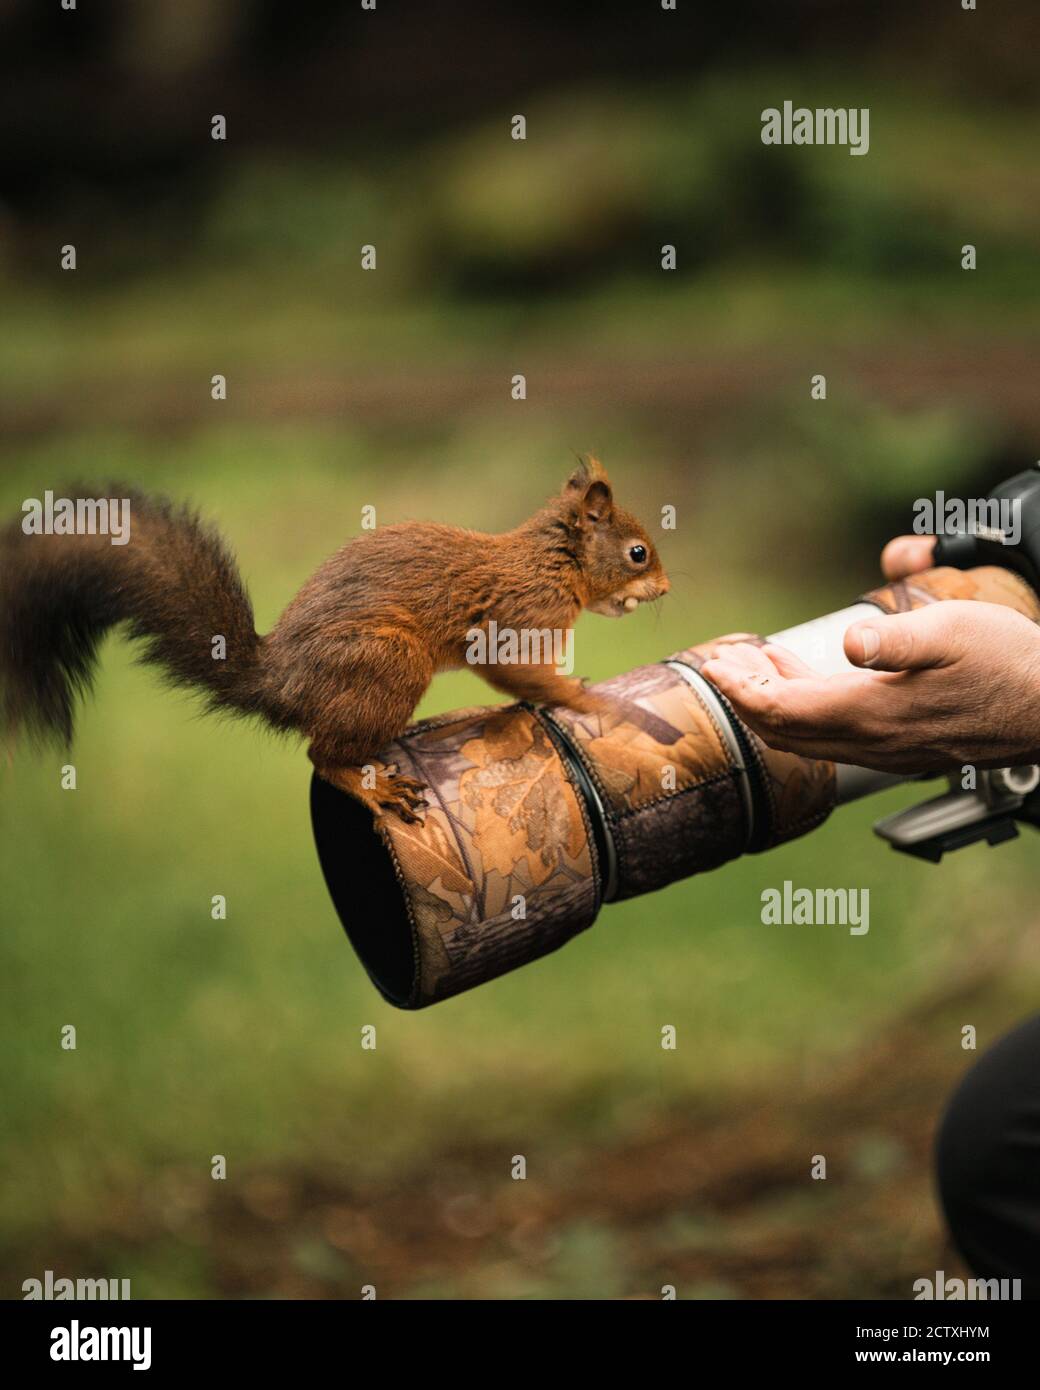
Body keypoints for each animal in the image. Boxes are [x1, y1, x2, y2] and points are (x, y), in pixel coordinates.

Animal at [0, 457, 669, 824]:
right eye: (638, 553)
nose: (664, 589)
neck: (554, 564)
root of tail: (279, 681)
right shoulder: (518, 619)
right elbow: (516, 673)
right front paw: (591, 701)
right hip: (389, 662)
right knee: (319, 755)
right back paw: (369, 786)